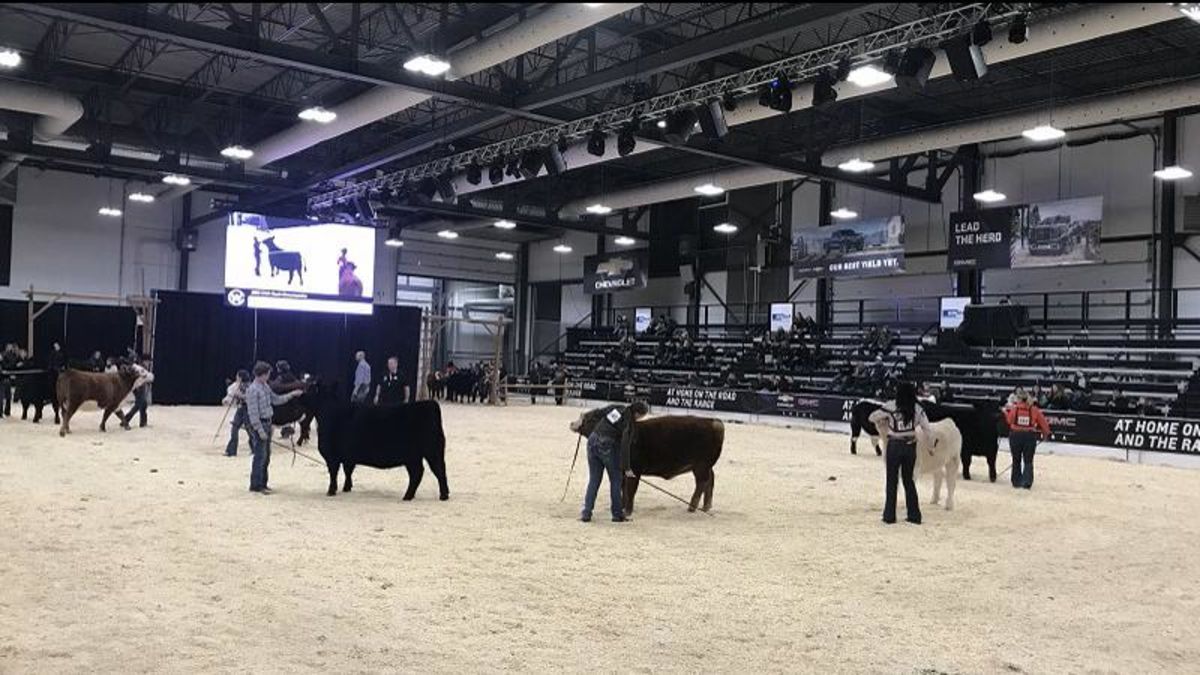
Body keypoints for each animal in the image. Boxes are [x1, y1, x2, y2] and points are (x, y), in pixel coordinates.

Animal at [314, 399, 450, 500]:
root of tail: (430, 404)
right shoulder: (348, 458)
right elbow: (348, 471)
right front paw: (346, 488)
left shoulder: (332, 456)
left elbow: (334, 473)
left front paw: (331, 491)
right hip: (423, 455)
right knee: (433, 471)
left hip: (423, 454)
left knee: (426, 472)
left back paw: (413, 496)